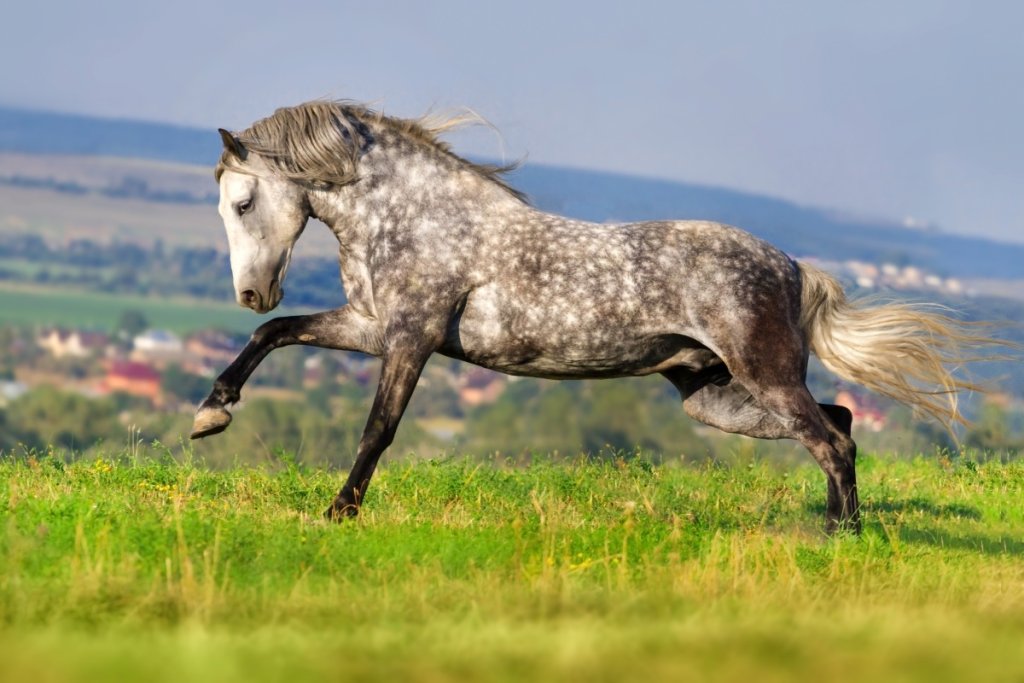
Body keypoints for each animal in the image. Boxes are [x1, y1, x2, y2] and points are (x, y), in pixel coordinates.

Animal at [191, 99, 992, 534]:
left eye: (243, 202)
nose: (251, 291)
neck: (419, 217)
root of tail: (795, 270)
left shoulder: (409, 339)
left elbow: (378, 428)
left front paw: (339, 512)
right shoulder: (369, 326)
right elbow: (274, 335)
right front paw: (211, 414)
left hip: (763, 378)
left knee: (829, 439)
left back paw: (842, 538)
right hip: (715, 396)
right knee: (841, 424)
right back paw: (838, 527)